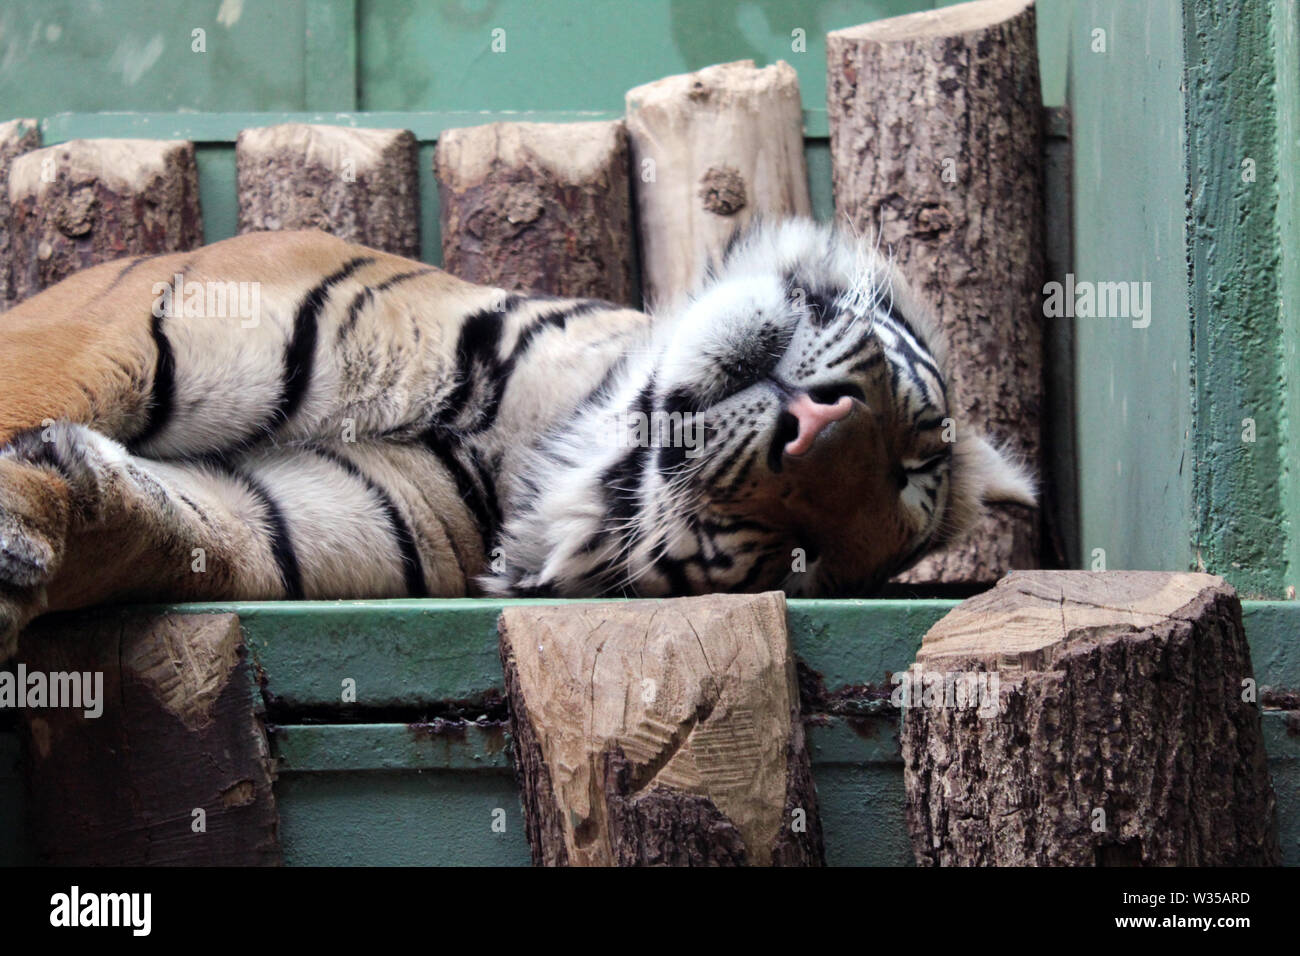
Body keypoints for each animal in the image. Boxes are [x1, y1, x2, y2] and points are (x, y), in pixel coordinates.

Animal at [0, 217, 1034, 655]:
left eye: (792, 558)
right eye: (916, 449)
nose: (814, 425)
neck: (528, 437)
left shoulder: (275, 523)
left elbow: (164, 530)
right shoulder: (108, 328)